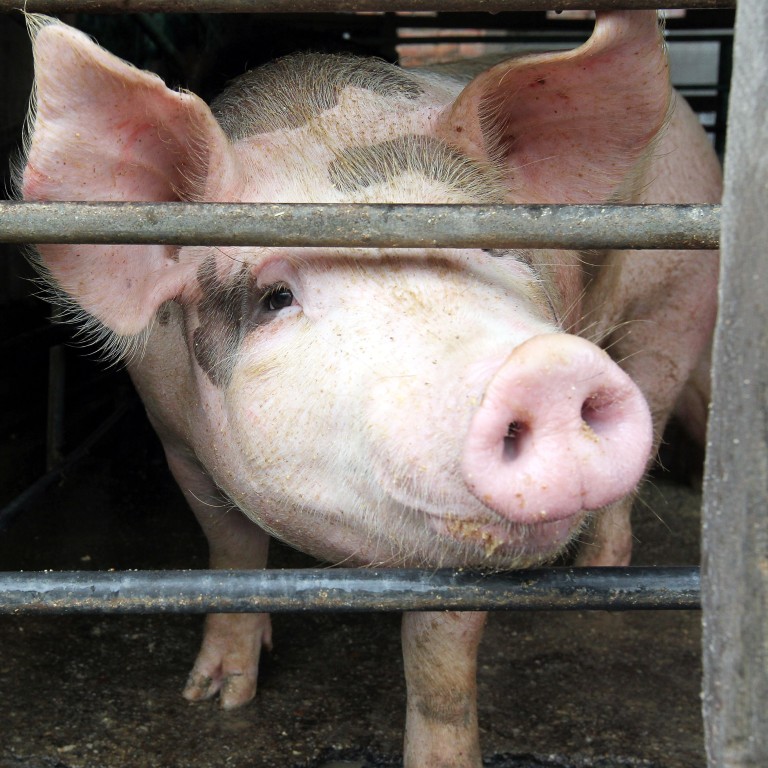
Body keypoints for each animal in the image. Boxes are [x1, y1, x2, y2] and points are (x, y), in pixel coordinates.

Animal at [19, 10, 720, 768]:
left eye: (496, 244)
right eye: (274, 298)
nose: (546, 366)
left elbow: (441, 654)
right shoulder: (174, 438)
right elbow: (230, 549)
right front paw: (217, 697)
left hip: (679, 300)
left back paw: (599, 576)